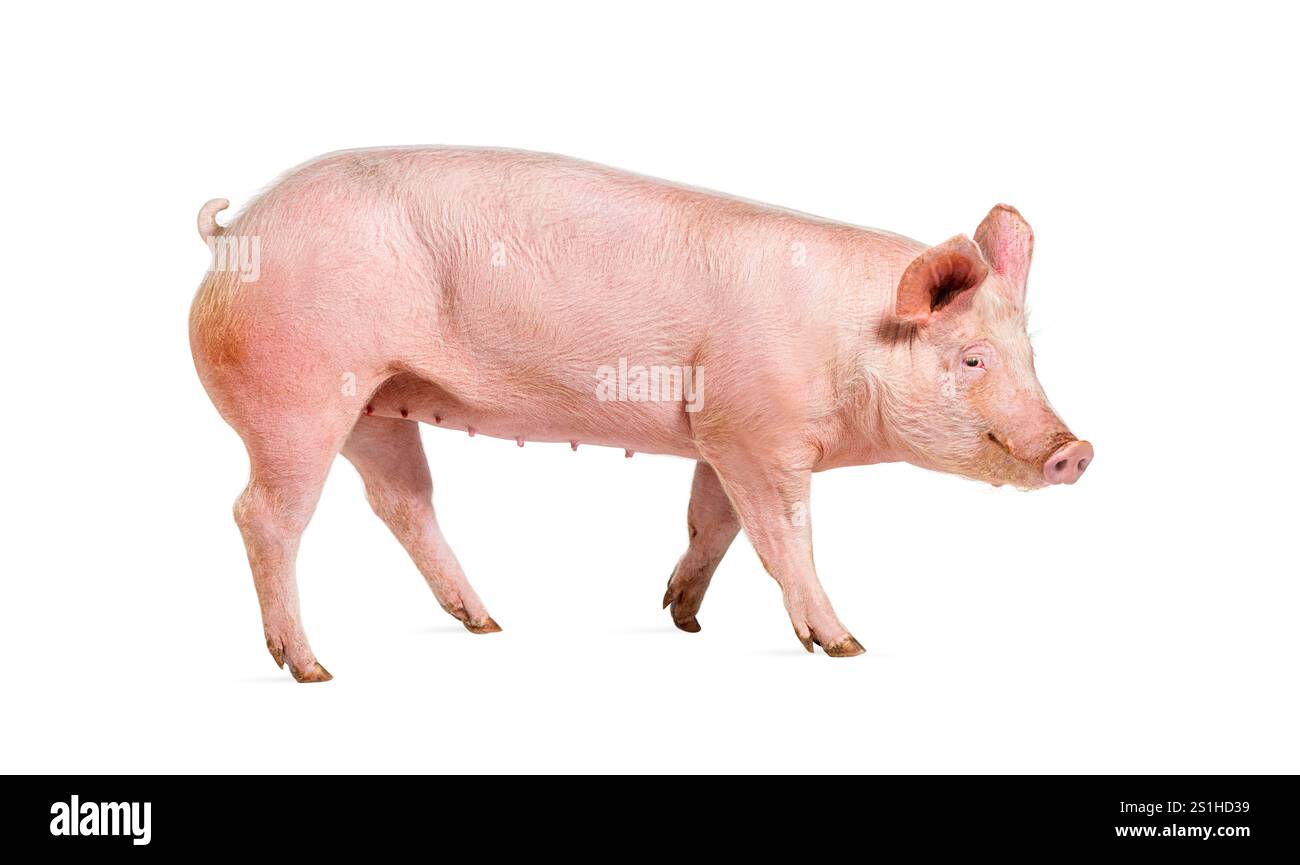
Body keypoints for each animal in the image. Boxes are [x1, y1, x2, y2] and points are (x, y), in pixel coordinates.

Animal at [190, 147, 1092, 682]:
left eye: (1030, 355)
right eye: (971, 359)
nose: (1075, 450)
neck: (851, 344)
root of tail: (232, 234)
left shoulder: (718, 432)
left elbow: (713, 523)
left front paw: (683, 617)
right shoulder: (758, 432)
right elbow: (783, 537)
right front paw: (845, 646)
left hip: (377, 405)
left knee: (401, 502)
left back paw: (487, 624)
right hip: (298, 392)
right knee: (261, 512)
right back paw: (311, 668)